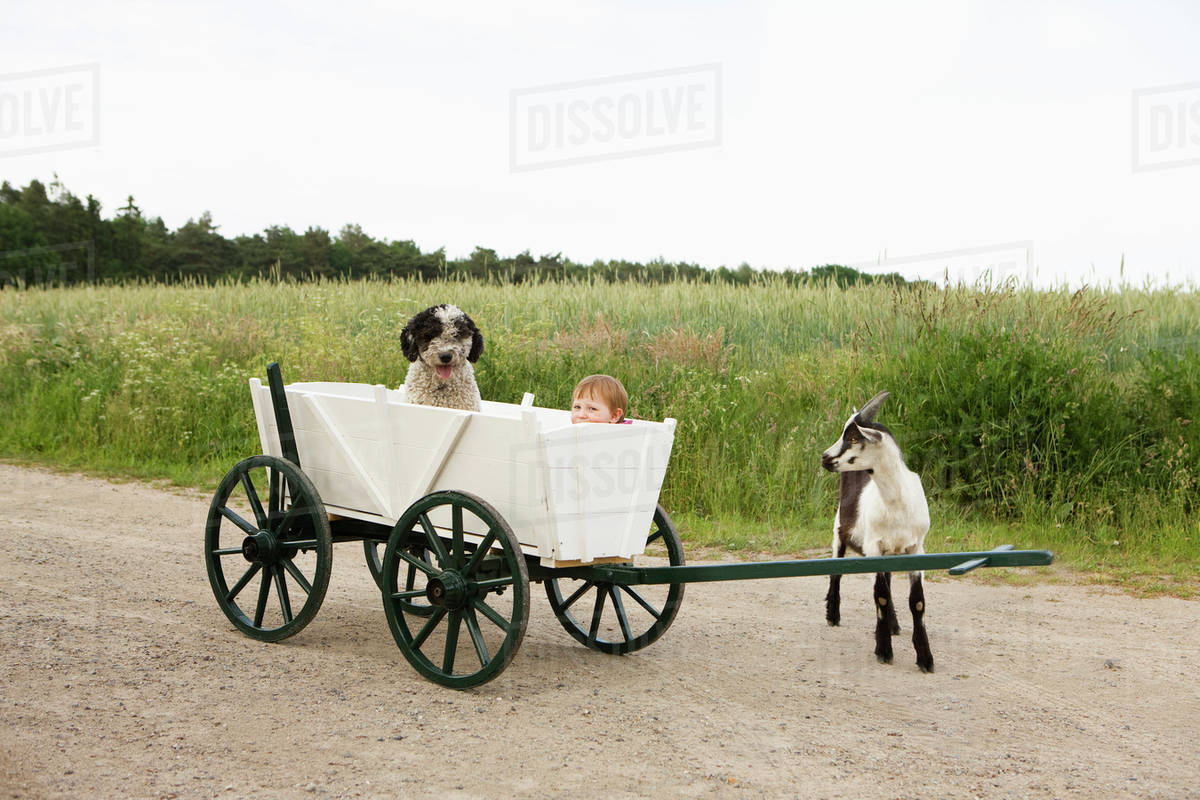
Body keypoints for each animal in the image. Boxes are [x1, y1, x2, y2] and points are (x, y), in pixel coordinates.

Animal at [820, 391, 934, 672]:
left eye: (852, 438)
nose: (825, 457)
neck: (897, 502)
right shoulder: (873, 545)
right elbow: (879, 596)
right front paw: (883, 650)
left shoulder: (917, 548)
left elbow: (917, 601)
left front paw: (925, 658)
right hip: (839, 529)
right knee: (836, 571)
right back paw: (833, 614)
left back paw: (893, 624)